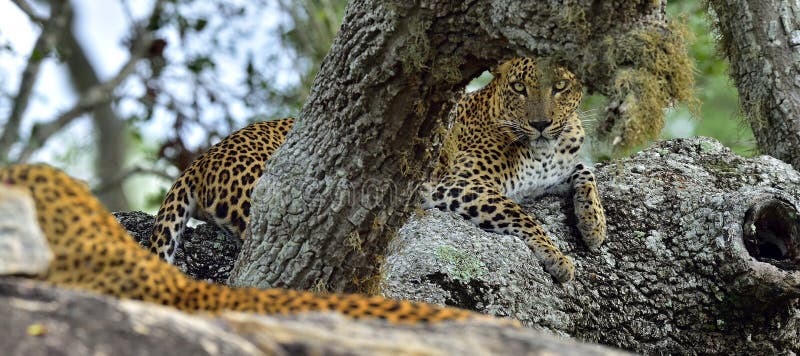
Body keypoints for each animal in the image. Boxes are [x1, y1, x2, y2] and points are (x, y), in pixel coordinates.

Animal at [150, 57, 604, 282]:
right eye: (519, 89)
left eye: (559, 87)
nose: (541, 123)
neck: (544, 147)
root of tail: (203, 158)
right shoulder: (456, 183)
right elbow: (520, 213)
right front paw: (557, 258)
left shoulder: (559, 165)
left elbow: (586, 170)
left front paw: (592, 225)